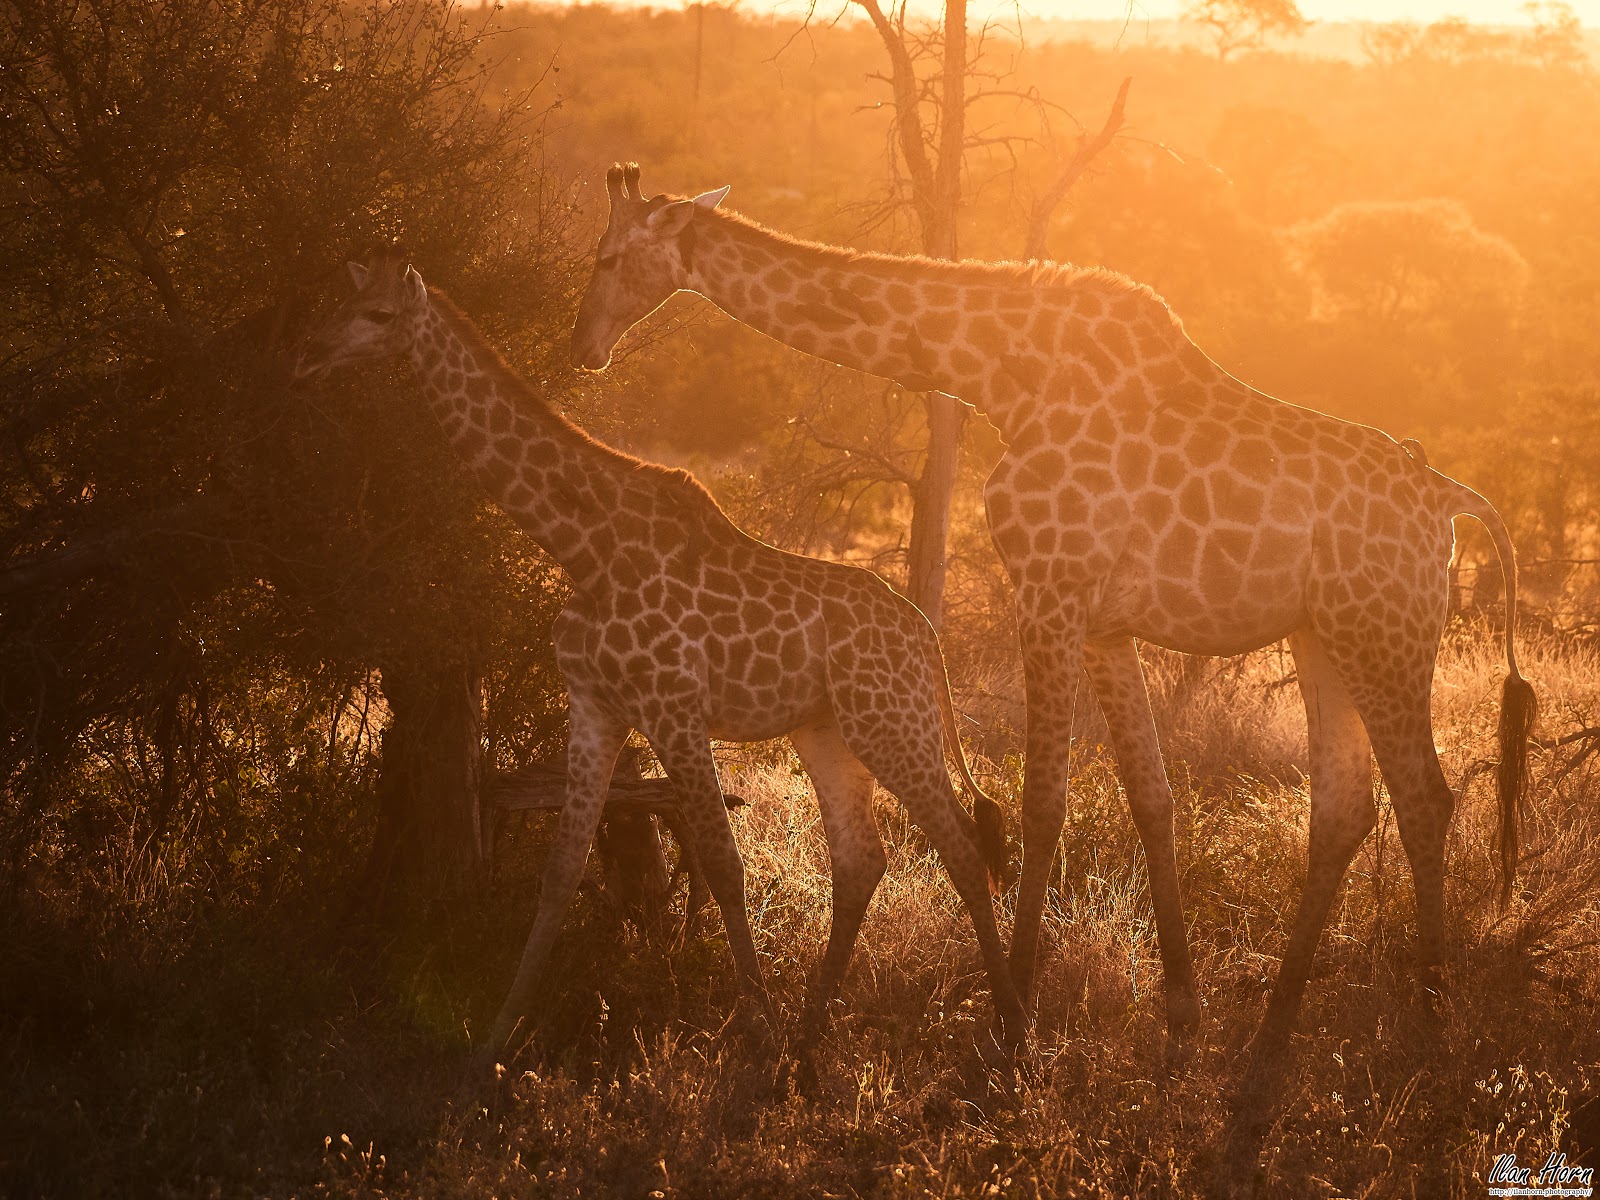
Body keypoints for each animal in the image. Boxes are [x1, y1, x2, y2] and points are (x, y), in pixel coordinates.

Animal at [293, 251, 1028, 1057]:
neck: (584, 547)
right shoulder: (596, 707)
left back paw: (1006, 1033)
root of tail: (929, 640)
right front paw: (493, 1041)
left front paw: (757, 1032)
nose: (309, 355)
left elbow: (723, 865)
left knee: (963, 847)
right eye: (341, 302)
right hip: (827, 731)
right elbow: (561, 870)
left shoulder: (675, 709)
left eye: (380, 315)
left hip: (892, 725)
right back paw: (810, 1039)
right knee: (863, 860)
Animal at [568, 164, 1538, 1064]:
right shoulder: (1103, 621)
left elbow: (1041, 801)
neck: (1002, 372)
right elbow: (1151, 796)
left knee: (1426, 797)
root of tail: (1451, 503)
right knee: (1344, 812)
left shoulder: (1047, 588)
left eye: (609, 255)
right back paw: (1271, 1035)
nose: (583, 346)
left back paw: (1431, 1019)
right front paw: (1180, 1010)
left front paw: (1014, 1013)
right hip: (1325, 637)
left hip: (1386, 633)